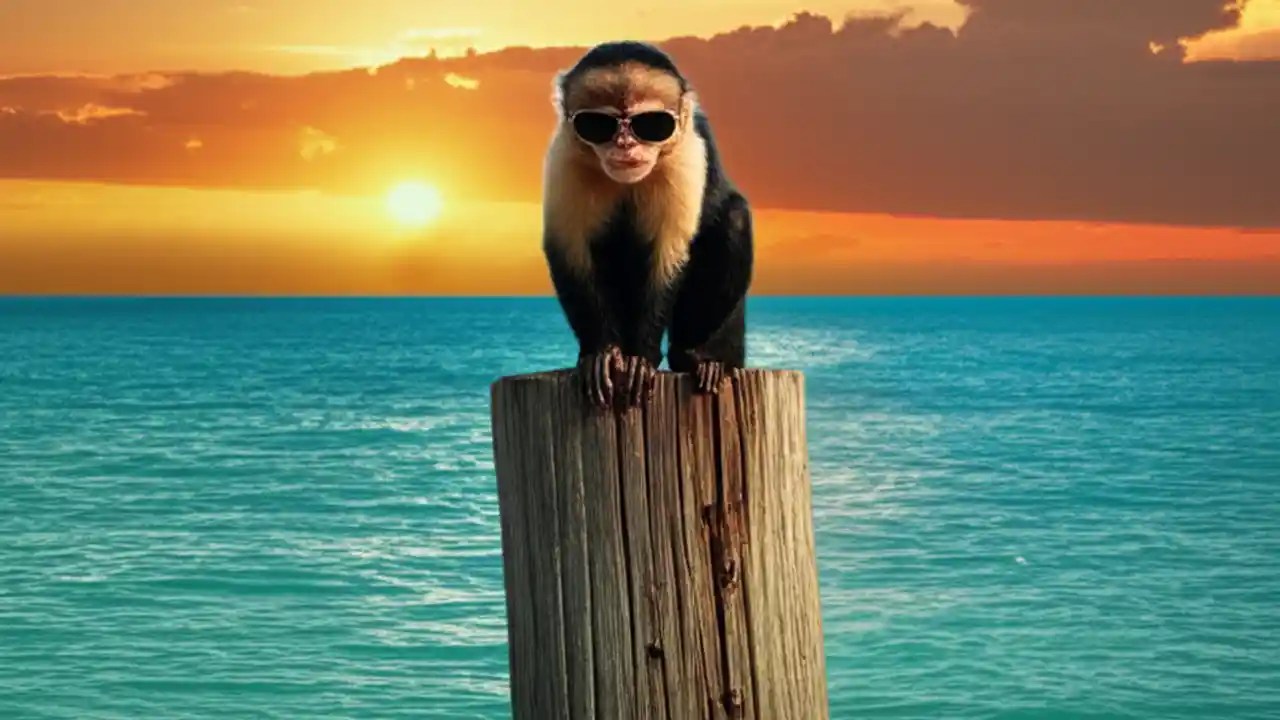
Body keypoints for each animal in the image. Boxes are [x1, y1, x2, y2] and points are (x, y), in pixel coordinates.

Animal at [540, 40, 754, 411]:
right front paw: (600, 354)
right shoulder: (565, 154)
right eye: (597, 123)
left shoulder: (686, 154)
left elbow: (669, 255)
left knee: (735, 218)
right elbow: (570, 252)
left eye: (651, 123)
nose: (625, 144)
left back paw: (701, 358)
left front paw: (642, 358)